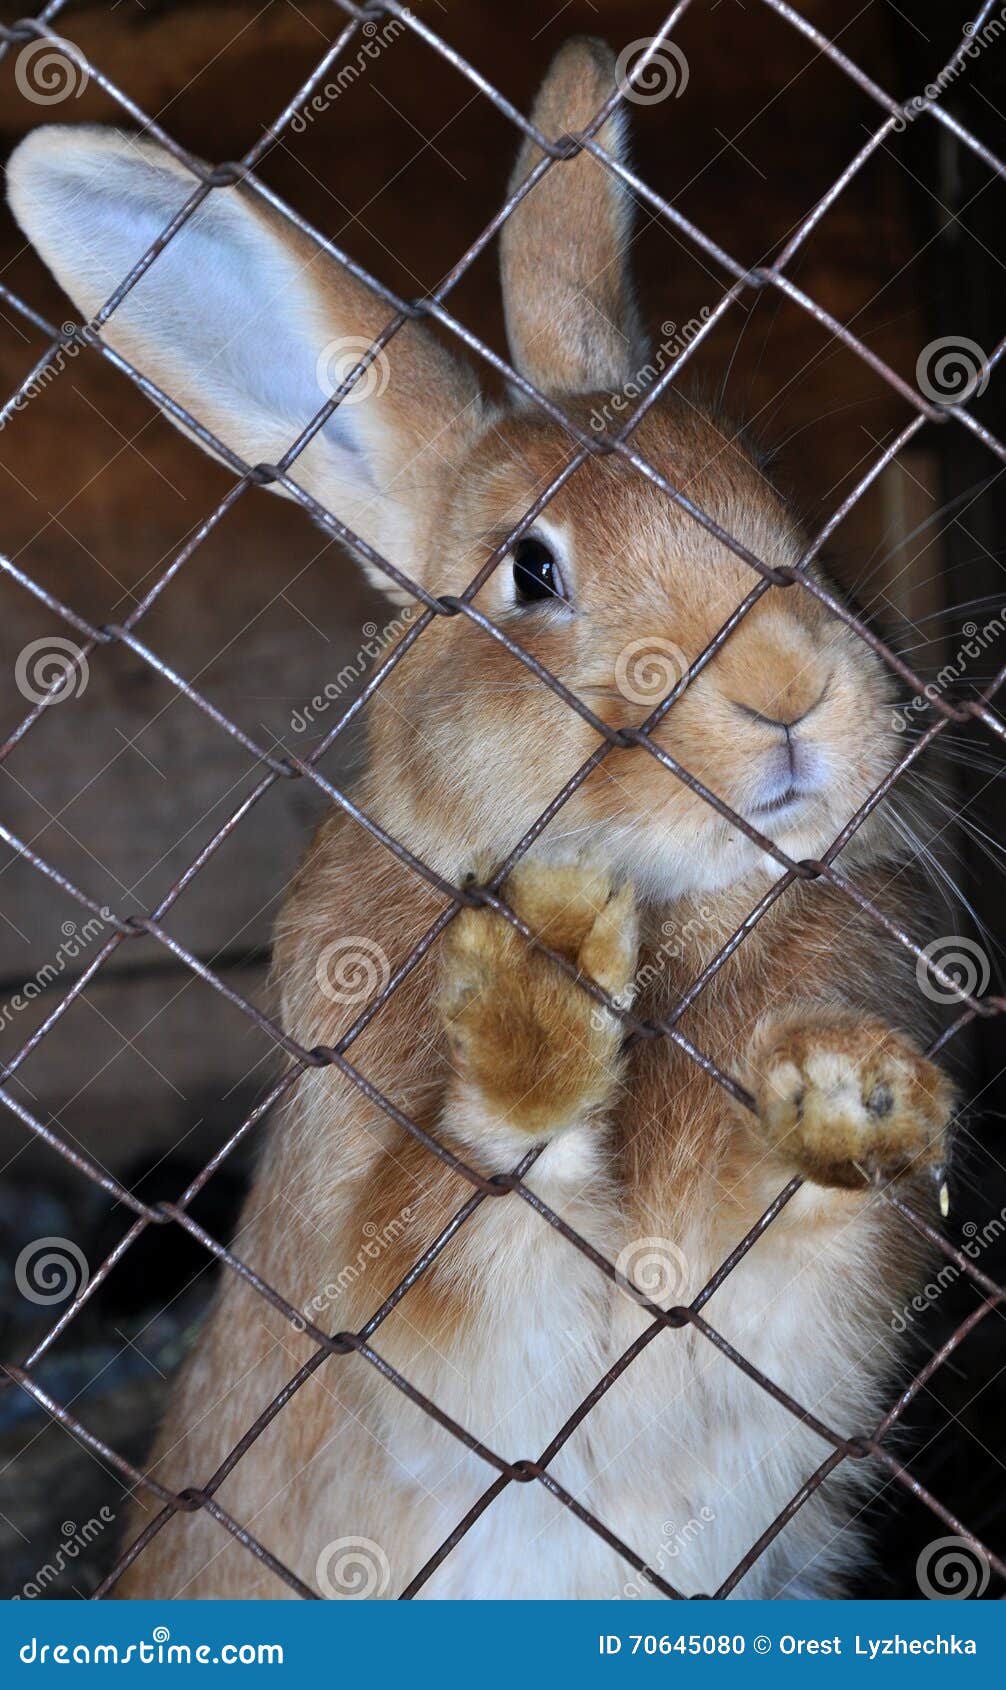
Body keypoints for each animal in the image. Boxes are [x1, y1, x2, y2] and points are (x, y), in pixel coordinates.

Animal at [7, 37, 955, 1601]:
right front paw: (540, 998)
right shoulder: (435, 1338)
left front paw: (844, 1086)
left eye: (768, 491)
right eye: (532, 570)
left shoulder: (774, 1317)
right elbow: (484, 1226)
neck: (685, 911)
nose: (786, 687)